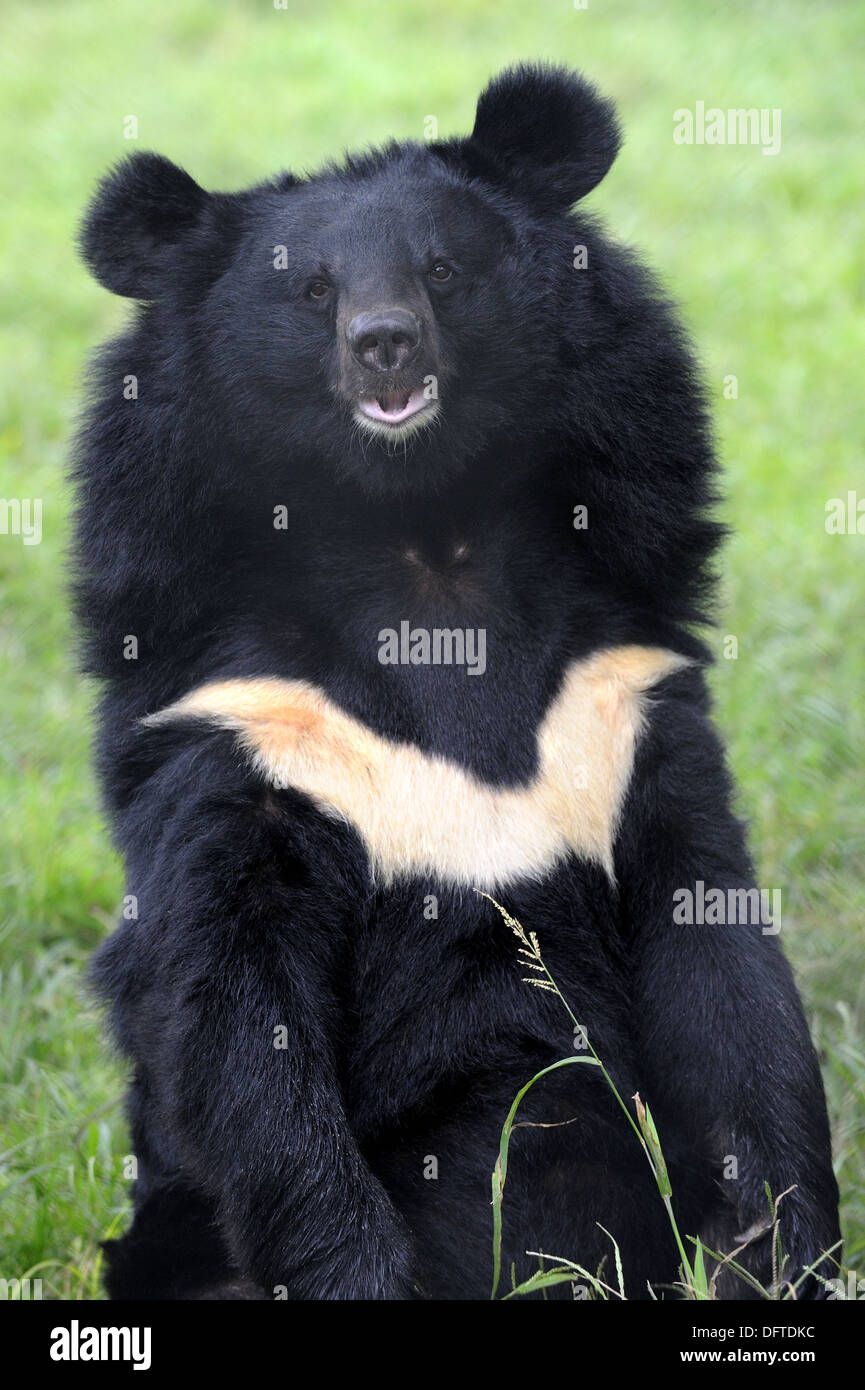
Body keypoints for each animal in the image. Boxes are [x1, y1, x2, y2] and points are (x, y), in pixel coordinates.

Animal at [73, 64, 840, 1300]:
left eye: (441, 269)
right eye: (313, 291)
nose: (386, 345)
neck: (419, 531)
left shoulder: (621, 691)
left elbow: (723, 972)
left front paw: (774, 1253)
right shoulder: (239, 717)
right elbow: (239, 1021)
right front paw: (357, 1276)